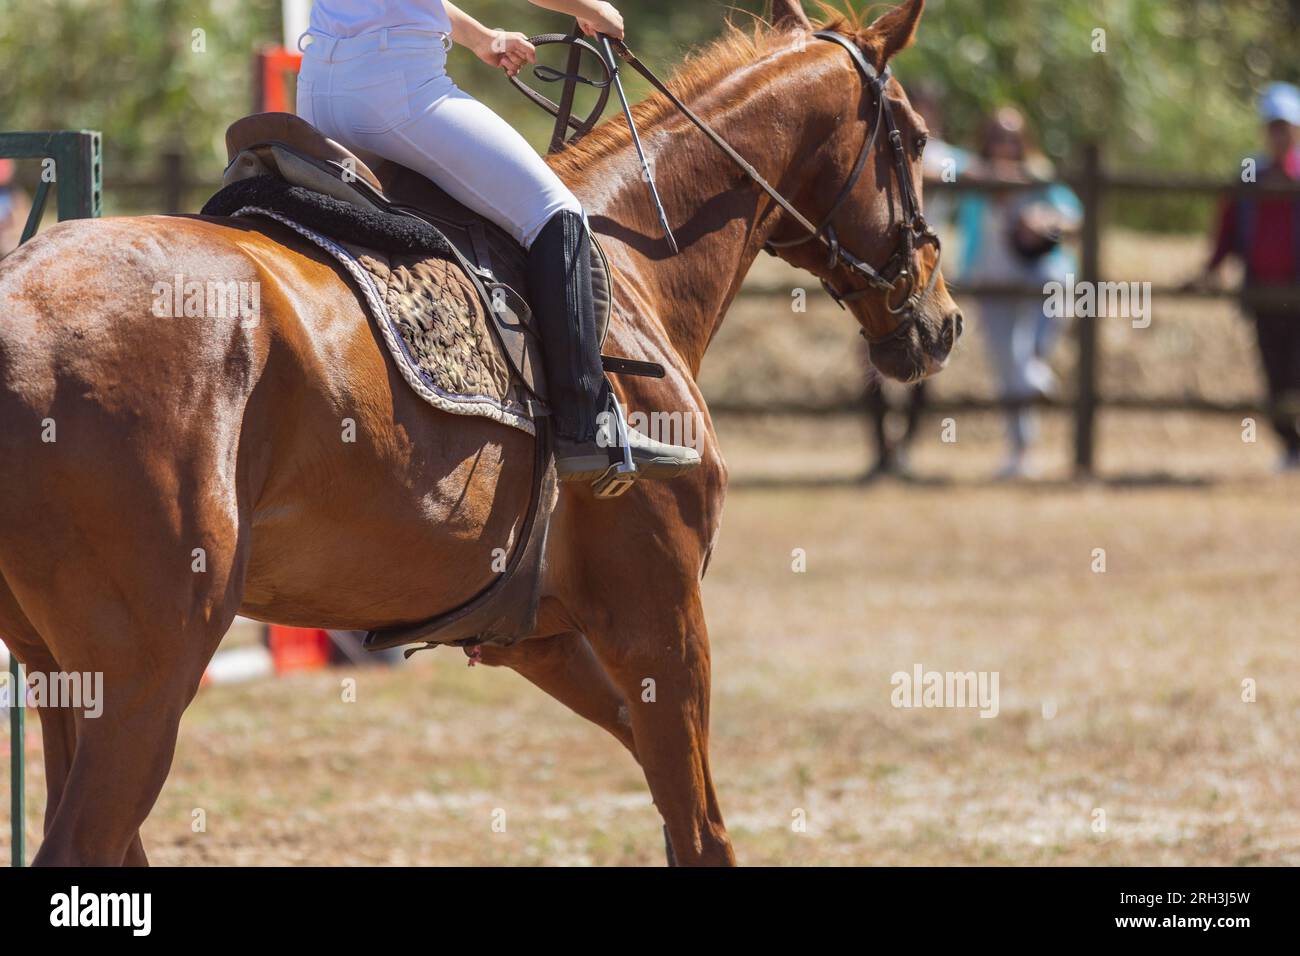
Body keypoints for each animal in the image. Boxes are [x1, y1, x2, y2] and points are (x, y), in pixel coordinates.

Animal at [0, 0, 958, 866]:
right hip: (147, 679)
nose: (942, 323)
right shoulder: (662, 614)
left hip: (59, 672)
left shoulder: (539, 635)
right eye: (912, 139)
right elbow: (700, 830)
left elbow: (658, 779)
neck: (634, 269)